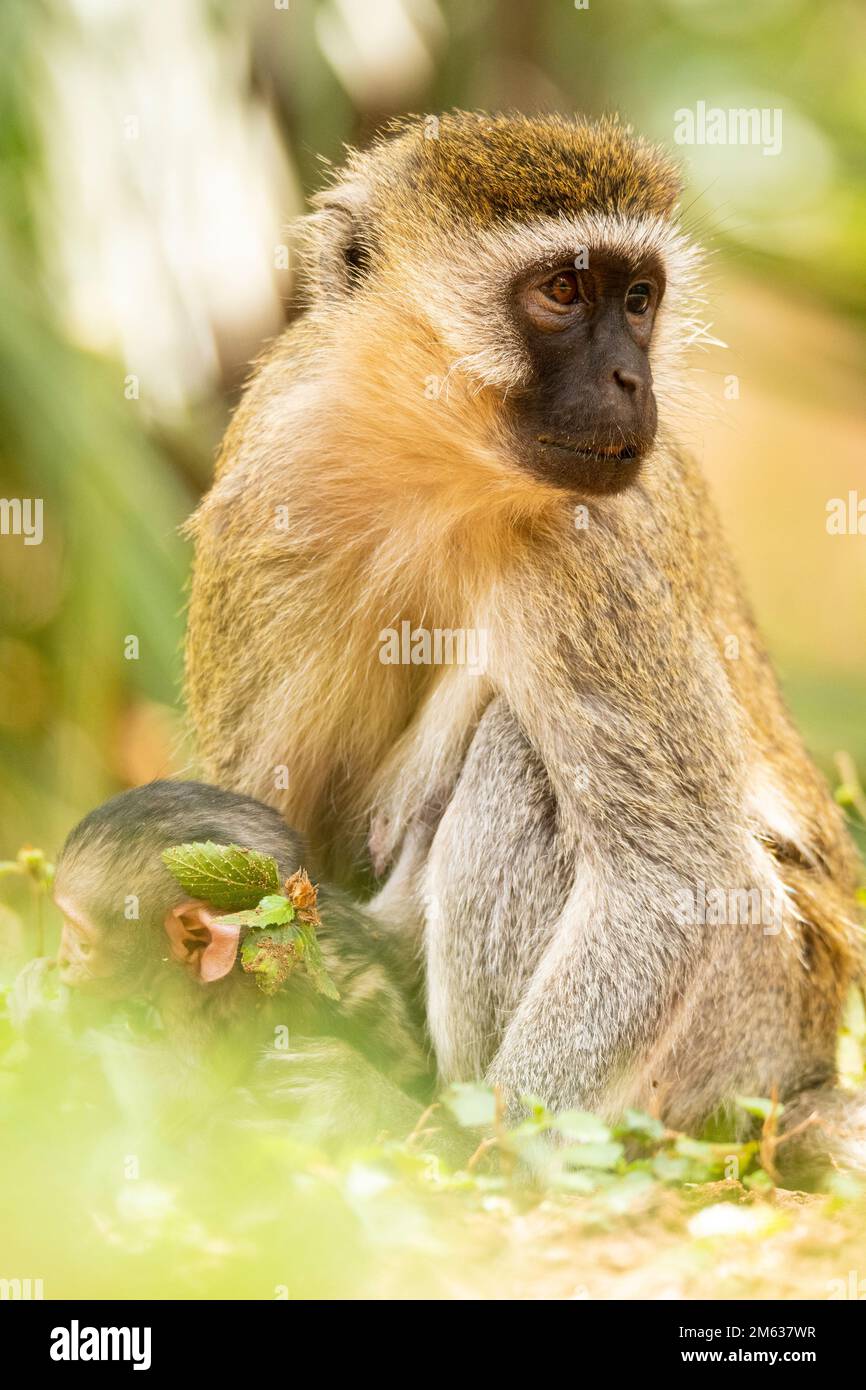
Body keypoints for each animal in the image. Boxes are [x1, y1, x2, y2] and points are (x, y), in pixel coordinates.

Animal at [184, 111, 865, 1186]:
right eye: (561, 293)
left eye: (637, 300)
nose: (630, 377)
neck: (440, 469)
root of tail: (803, 1067)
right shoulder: (270, 485)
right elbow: (248, 825)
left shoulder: (587, 543)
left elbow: (675, 880)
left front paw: (462, 1150)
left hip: (743, 1028)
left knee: (519, 753)